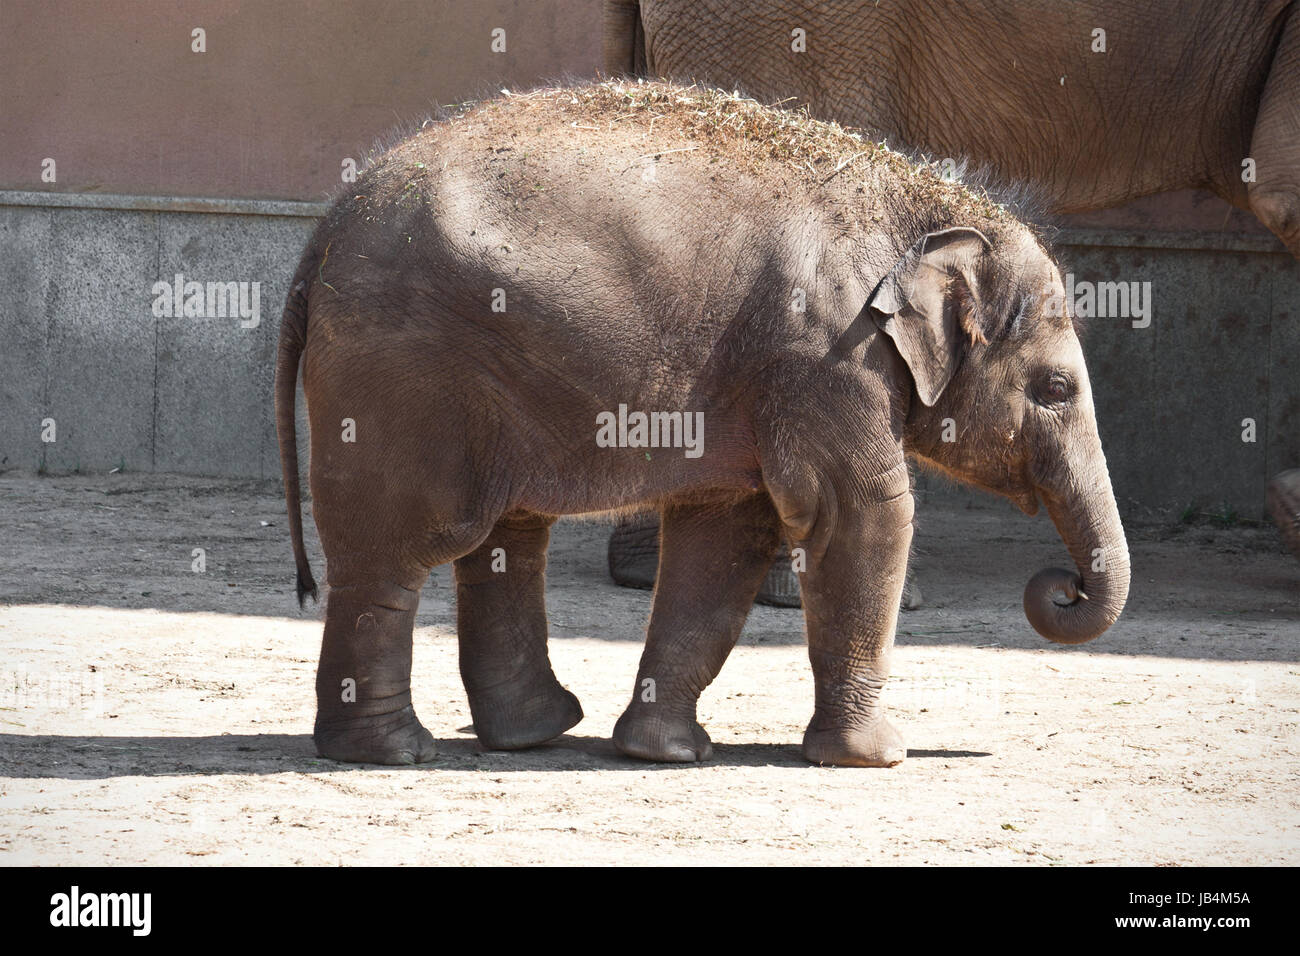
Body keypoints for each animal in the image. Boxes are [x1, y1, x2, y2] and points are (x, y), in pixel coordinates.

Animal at [275, 80, 1131, 768]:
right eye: (1057, 388)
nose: (1061, 587)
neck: (921, 203)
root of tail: (326, 232)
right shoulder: (826, 355)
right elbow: (862, 513)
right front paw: (876, 759)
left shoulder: (770, 381)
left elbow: (724, 535)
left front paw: (664, 752)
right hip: (401, 379)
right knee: (398, 550)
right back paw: (395, 751)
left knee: (505, 536)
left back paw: (533, 734)